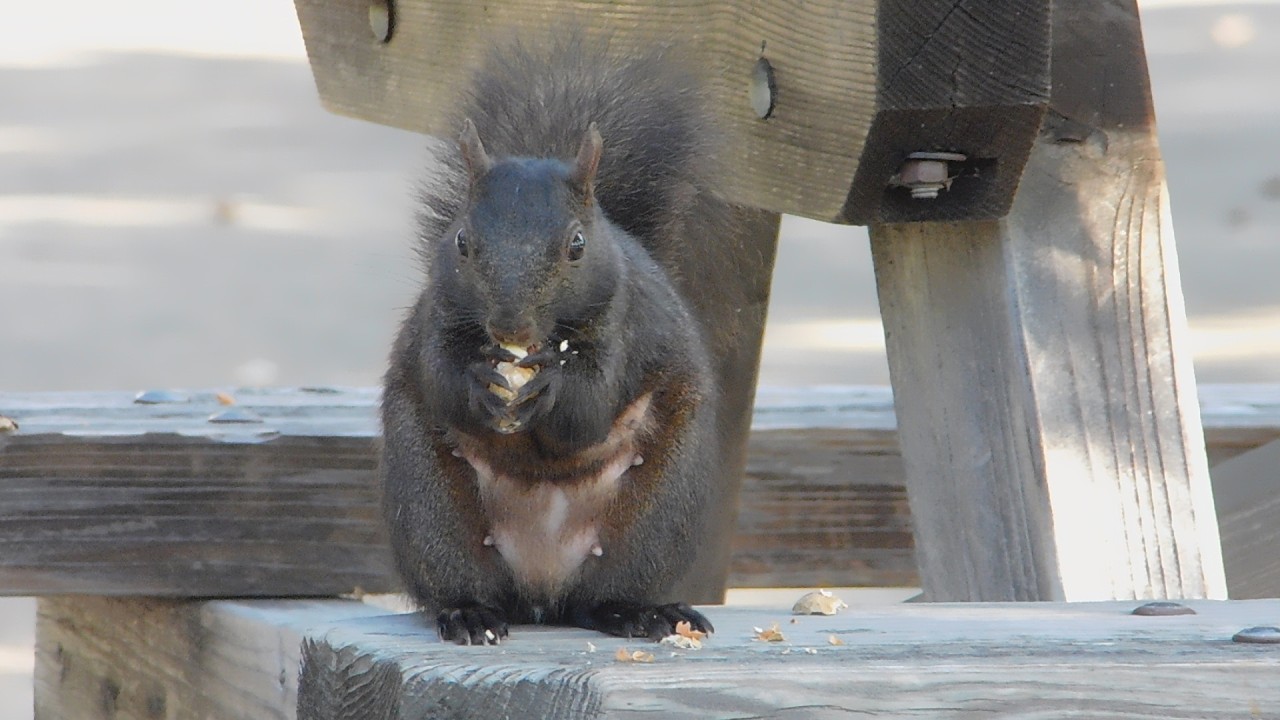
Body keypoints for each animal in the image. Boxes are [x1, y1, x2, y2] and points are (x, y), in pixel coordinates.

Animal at [380, 35, 724, 644]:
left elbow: (589, 408)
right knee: (461, 576)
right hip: (428, 505)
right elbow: (442, 378)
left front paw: (552, 387)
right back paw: (470, 614)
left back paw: (639, 613)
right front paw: (479, 380)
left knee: (605, 593)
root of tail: (542, 590)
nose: (509, 326)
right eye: (461, 241)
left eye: (577, 245)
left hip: (658, 515)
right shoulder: (435, 320)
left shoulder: (625, 327)